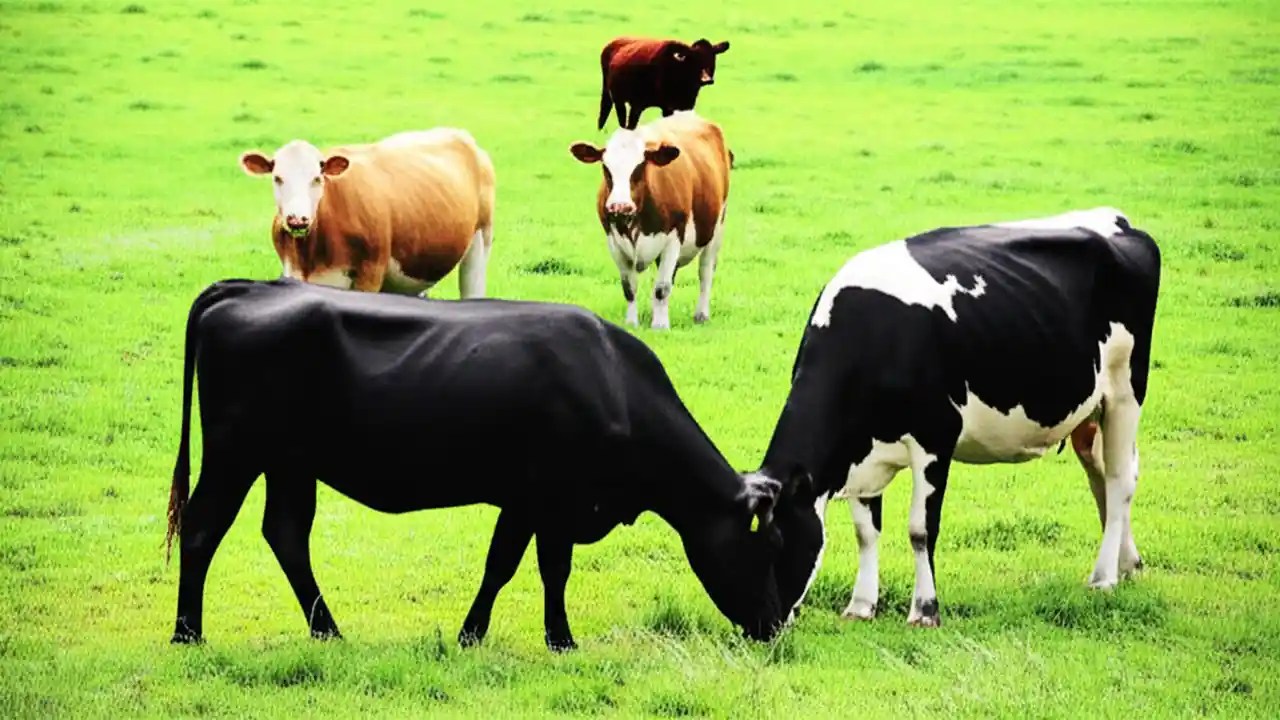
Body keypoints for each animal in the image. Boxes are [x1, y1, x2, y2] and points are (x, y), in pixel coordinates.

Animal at [163, 277, 824, 651]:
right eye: (767, 547)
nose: (773, 627)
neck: (614, 383)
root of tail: (246, 288)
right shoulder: (552, 497)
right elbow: (539, 568)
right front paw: (551, 640)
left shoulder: (528, 499)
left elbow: (512, 565)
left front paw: (486, 634)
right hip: (234, 454)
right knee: (202, 529)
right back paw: (188, 634)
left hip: (290, 464)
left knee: (286, 535)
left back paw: (328, 630)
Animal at [238, 128, 495, 298]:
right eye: (277, 178)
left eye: (317, 178)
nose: (297, 219)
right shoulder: (293, 271)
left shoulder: (371, 272)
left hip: (480, 242)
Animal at [569, 110, 731, 330]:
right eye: (606, 167)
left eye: (639, 166)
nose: (620, 205)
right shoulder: (614, 243)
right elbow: (629, 287)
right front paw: (632, 323)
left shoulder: (674, 237)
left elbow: (662, 287)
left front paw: (660, 326)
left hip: (716, 228)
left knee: (705, 272)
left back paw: (701, 315)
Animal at [597, 36, 730, 130]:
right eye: (694, 60)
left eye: (711, 59)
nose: (706, 79)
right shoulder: (664, 107)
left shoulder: (686, 106)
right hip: (616, 98)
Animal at [744, 207, 1161, 628]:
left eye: (776, 543)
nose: (758, 626)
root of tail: (1114, 218)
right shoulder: (861, 452)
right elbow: (865, 530)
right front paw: (861, 606)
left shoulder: (935, 437)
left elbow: (921, 529)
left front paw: (925, 611)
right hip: (1089, 412)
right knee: (1102, 476)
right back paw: (1128, 564)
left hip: (1125, 392)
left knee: (1119, 480)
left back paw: (1104, 578)